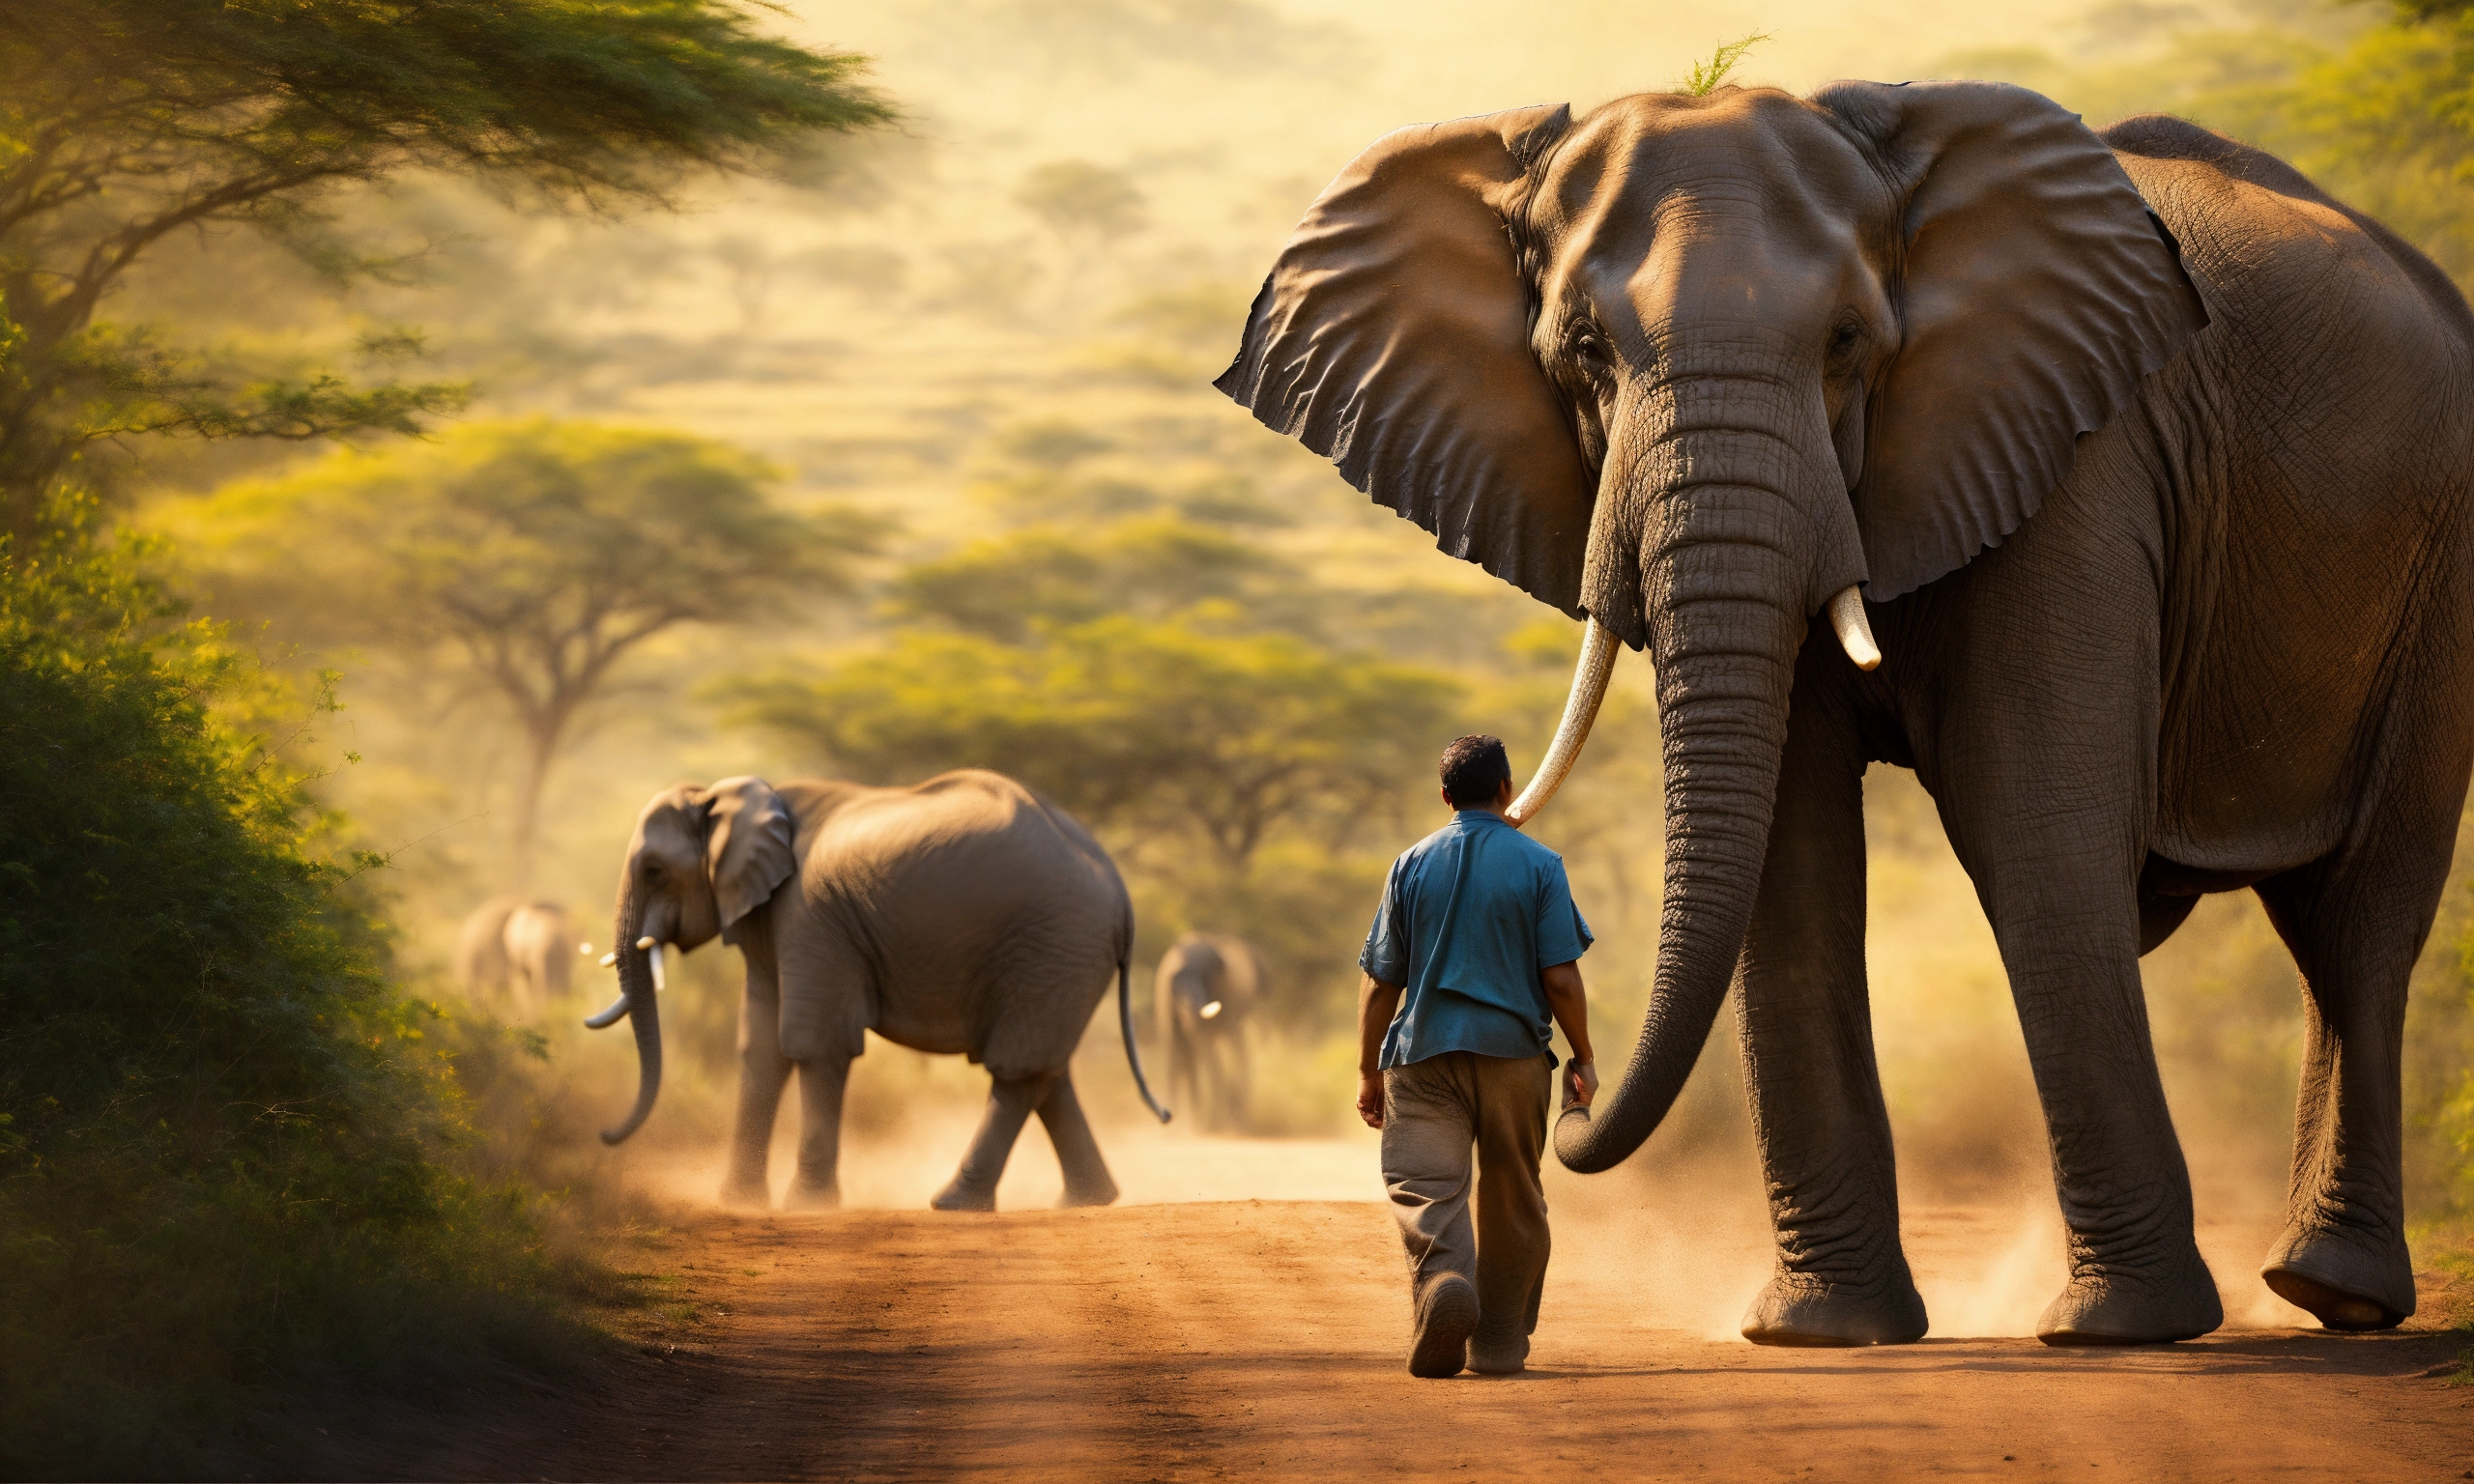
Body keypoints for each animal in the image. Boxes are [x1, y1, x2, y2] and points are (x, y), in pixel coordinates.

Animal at [589, 769, 1169, 1211]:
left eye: (654, 871)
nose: (603, 1135)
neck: (727, 793)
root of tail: (1122, 895)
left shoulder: (808, 915)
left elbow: (813, 1042)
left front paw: (806, 1208)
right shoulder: (772, 915)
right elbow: (761, 1047)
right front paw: (739, 1204)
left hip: (1056, 943)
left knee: (1019, 1068)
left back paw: (952, 1204)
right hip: (1060, 960)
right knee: (1046, 1071)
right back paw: (1087, 1202)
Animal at [1219, 81, 2474, 1346]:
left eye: (1844, 345)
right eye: (1581, 352)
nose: (1571, 1097)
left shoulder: (2077, 463)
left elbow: (2038, 832)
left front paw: (2122, 1330)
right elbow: (1793, 844)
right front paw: (1818, 1333)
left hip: (2436, 569)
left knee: (2358, 923)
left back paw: (2329, 1293)